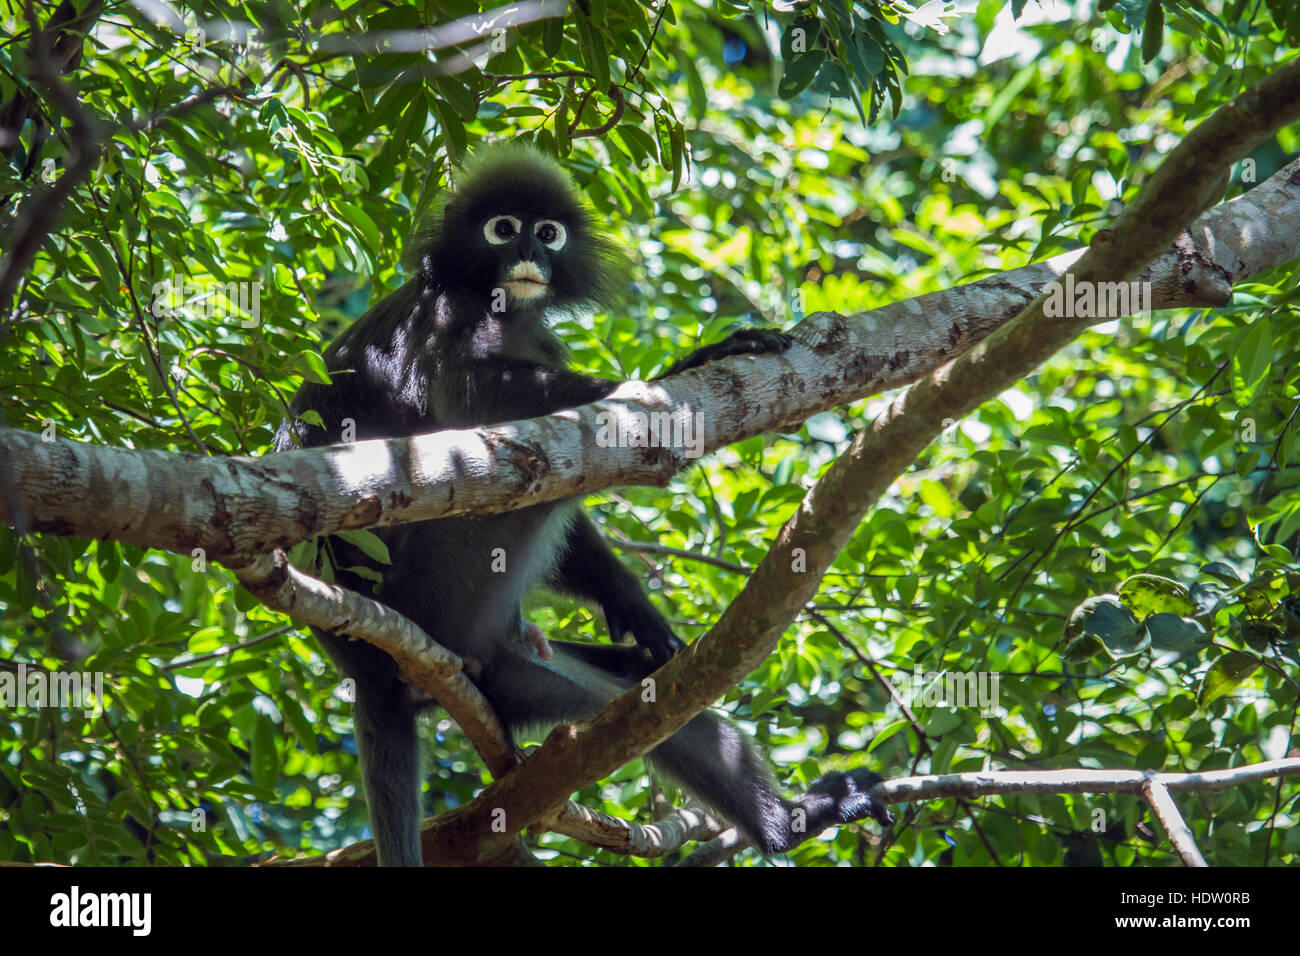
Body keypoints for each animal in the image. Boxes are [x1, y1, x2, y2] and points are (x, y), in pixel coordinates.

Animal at [275, 142, 891, 865]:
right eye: (502, 229)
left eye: (547, 233)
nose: (528, 257)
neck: (501, 307)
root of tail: (365, 663)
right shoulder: (449, 319)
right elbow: (476, 400)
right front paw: (689, 364)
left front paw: (635, 607)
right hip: (439, 595)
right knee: (516, 473)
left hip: (511, 674)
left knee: (642, 696)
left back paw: (791, 821)